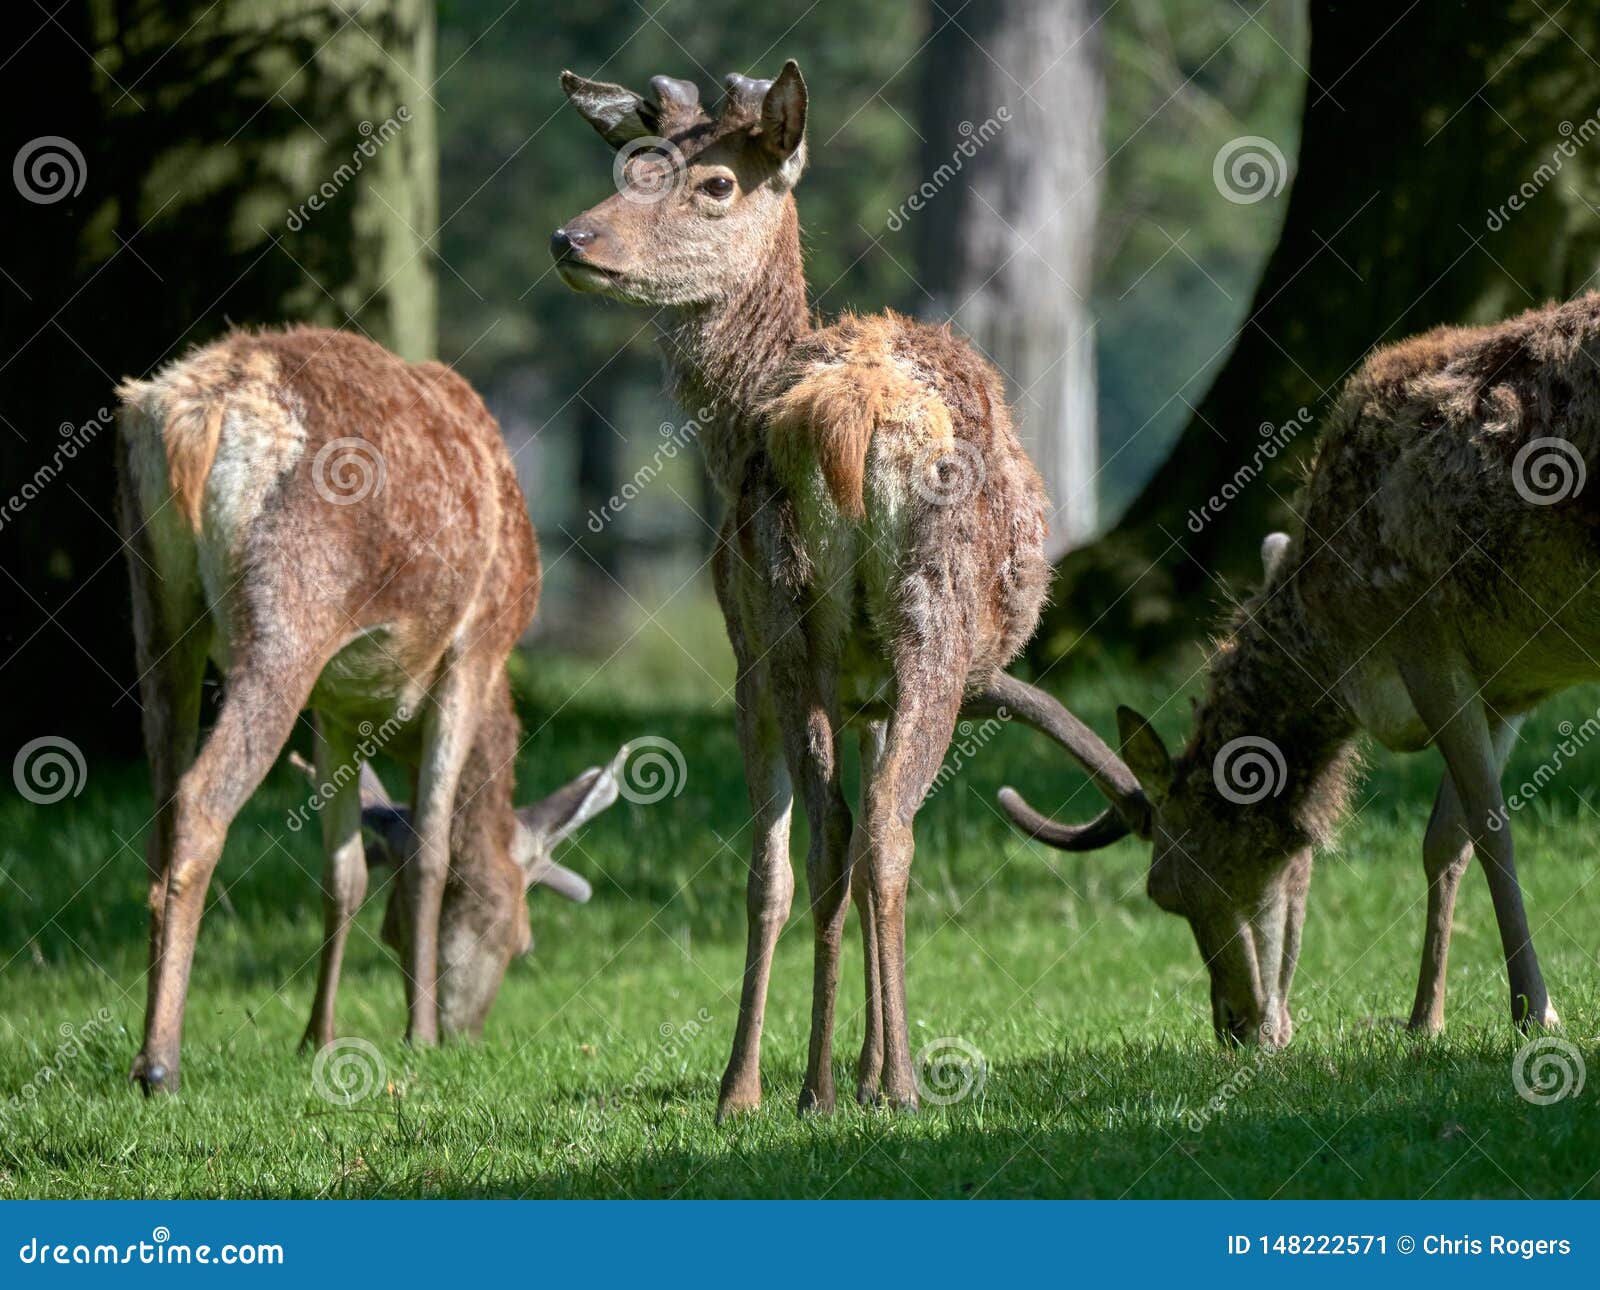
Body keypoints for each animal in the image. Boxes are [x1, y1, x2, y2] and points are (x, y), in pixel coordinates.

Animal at [116, 326, 620, 1092]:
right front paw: (418, 1037)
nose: (466, 1033)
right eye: (520, 940)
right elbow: (432, 851)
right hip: (288, 615)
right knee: (202, 800)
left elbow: (345, 874)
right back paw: (160, 1064)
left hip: (156, 602)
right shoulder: (471, 654)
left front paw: (317, 1040)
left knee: (163, 805)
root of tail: (191, 416)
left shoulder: (338, 709)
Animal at [551, 61, 1132, 1116]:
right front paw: (849, 1067)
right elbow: (833, 852)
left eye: (714, 182)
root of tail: (854, 407)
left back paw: (810, 1083)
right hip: (910, 628)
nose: (573, 239)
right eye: (628, 164)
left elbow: (774, 871)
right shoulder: (841, 681)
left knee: (837, 841)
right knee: (880, 835)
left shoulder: (765, 662)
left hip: (803, 625)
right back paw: (882, 1081)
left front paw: (760, 1082)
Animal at [998, 292, 1600, 1045]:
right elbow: (1446, 842)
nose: (1235, 1027)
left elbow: (1493, 830)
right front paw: (1423, 1020)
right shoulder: (1508, 684)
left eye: (1166, 888)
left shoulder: (1425, 637)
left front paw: (1533, 1010)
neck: (1339, 644)